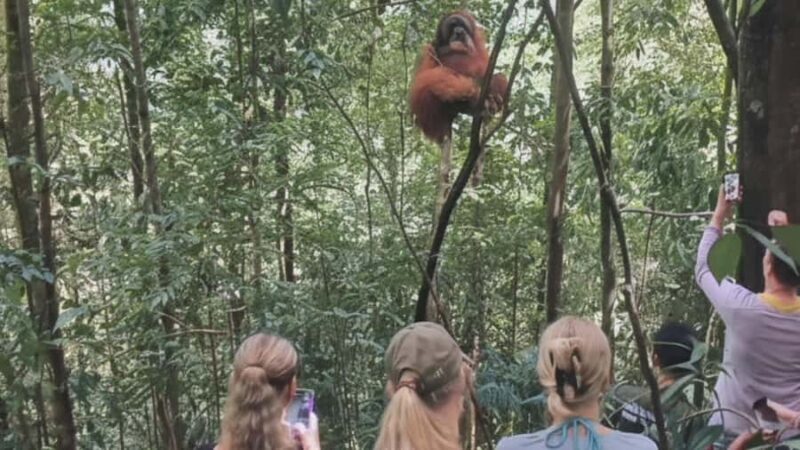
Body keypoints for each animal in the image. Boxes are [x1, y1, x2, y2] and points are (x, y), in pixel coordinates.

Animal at [410, 11, 509, 143]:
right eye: (452, 26)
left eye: (461, 24)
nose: (458, 31)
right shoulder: (428, 48)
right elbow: (425, 75)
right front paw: (476, 95)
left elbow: (486, 69)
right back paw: (477, 101)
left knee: (500, 76)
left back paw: (493, 102)